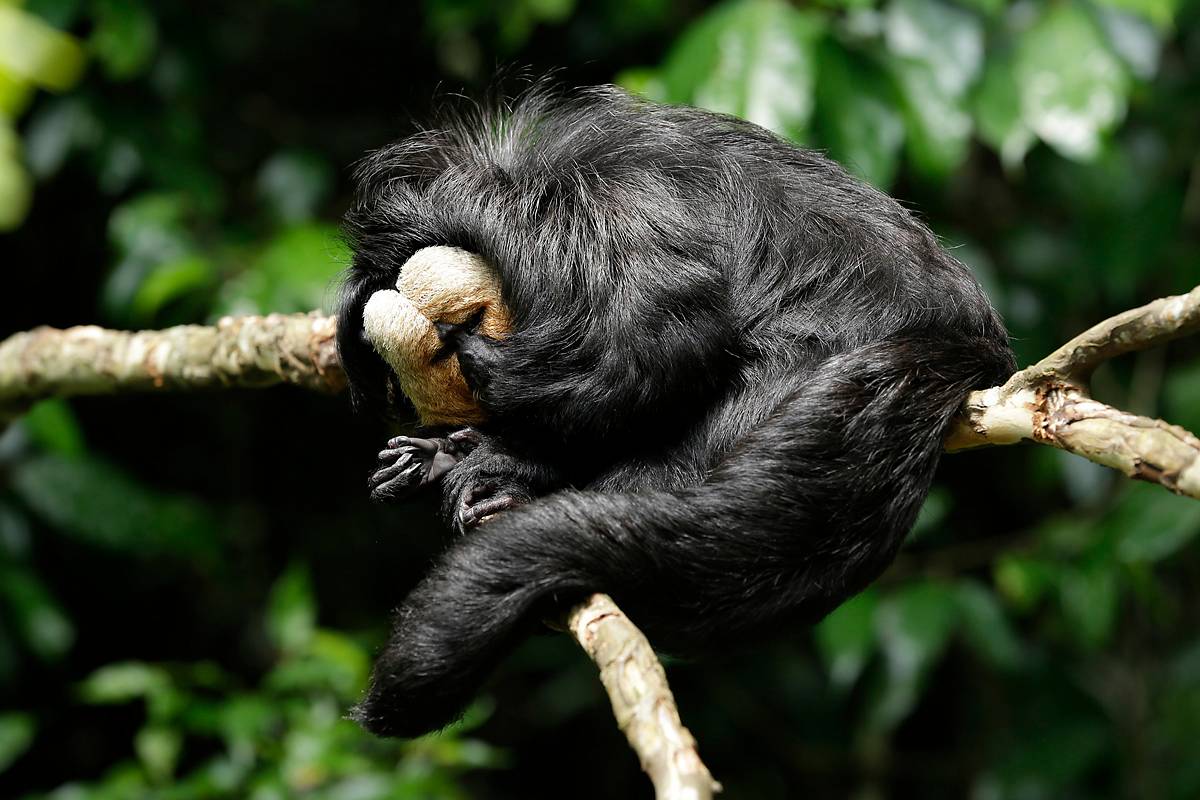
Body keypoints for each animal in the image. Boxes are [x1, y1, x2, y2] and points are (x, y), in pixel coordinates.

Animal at [335, 85, 1016, 738]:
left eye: (455, 333)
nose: (456, 354)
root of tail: (959, 339)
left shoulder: (575, 224)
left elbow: (660, 342)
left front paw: (505, 455)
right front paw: (449, 451)